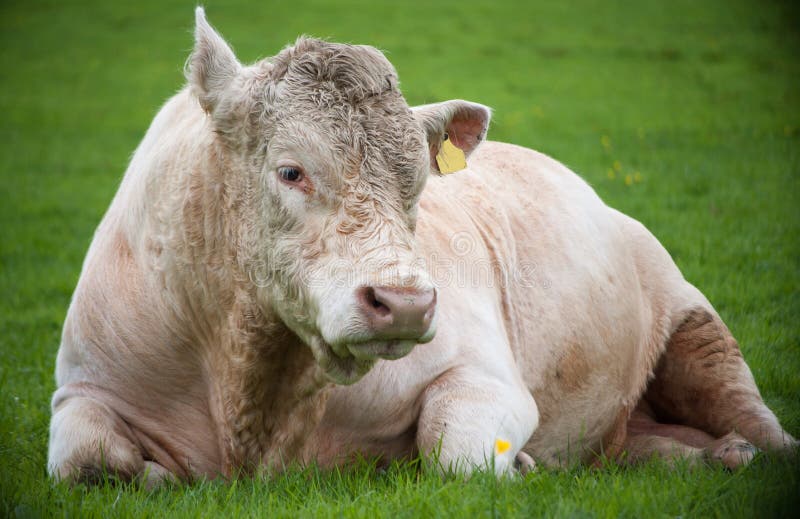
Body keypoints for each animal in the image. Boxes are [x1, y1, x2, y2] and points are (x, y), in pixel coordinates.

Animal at [48, 8, 796, 486]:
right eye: (291, 171)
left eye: (417, 184)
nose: (404, 303)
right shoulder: (81, 387)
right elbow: (86, 462)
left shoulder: (487, 376)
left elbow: (457, 454)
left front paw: (522, 464)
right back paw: (714, 457)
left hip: (700, 334)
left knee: (759, 423)